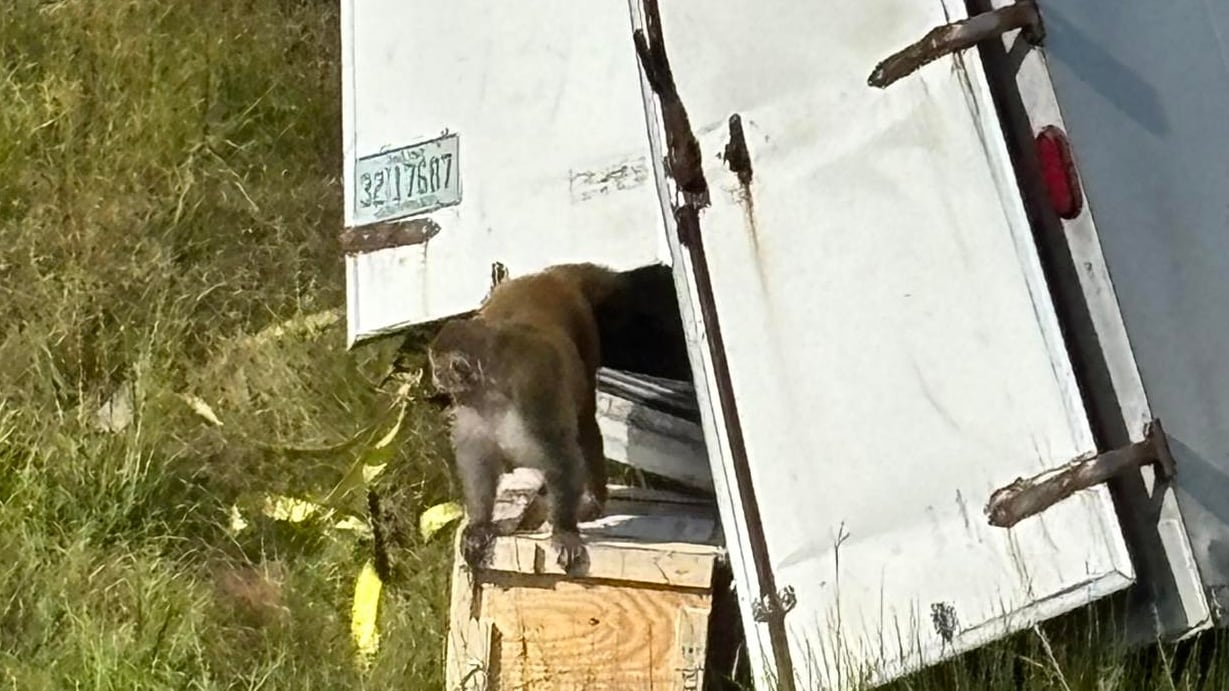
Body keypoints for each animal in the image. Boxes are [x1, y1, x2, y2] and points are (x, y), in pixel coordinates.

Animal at [428, 263, 636, 574]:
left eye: (437, 368)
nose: (434, 378)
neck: (492, 386)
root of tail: (548, 276)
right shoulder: (470, 404)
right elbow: (478, 458)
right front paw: (480, 524)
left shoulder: (533, 389)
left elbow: (560, 455)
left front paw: (564, 531)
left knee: (585, 422)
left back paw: (593, 499)